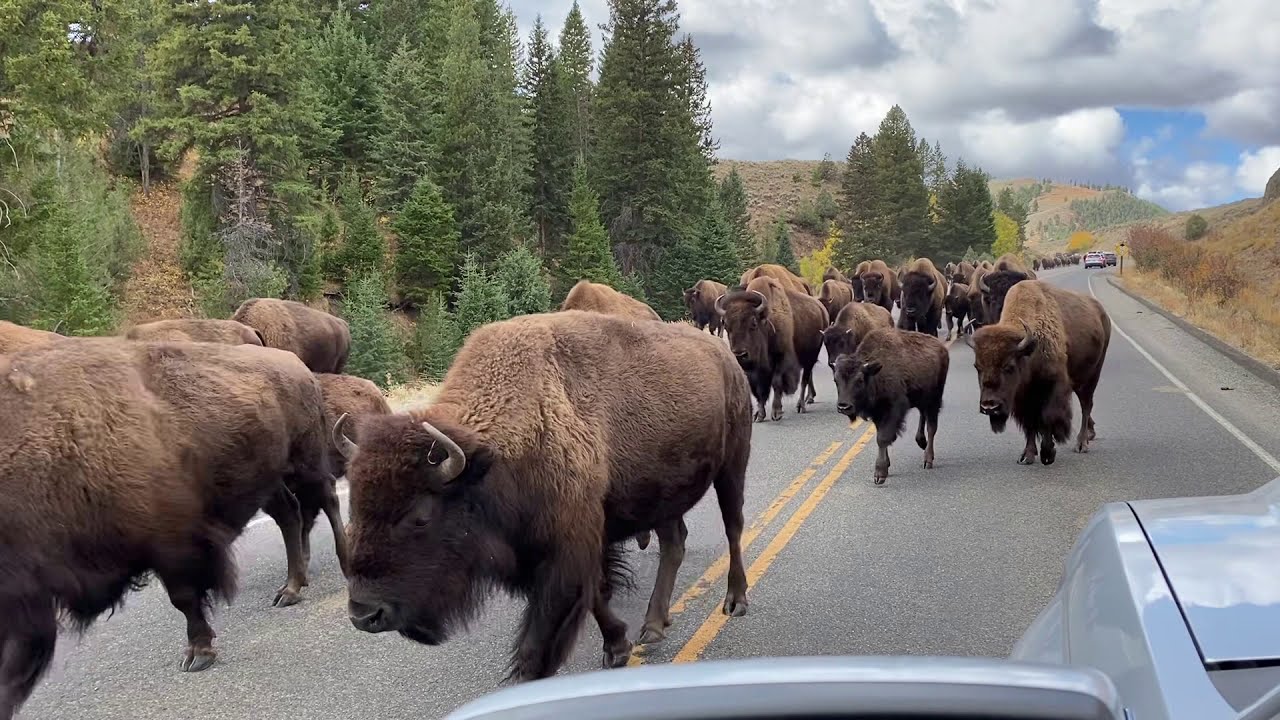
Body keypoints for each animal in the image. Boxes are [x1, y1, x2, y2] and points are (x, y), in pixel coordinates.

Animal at [0, 338, 346, 719]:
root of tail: (296, 364)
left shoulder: (173, 546)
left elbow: (184, 598)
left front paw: (198, 654)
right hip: (270, 480)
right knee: (290, 514)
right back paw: (290, 589)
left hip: (306, 461)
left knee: (327, 497)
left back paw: (343, 564)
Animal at [335, 310, 752, 681]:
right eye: (354, 508)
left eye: (421, 515)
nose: (364, 614)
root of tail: (725, 357)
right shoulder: (567, 546)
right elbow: (595, 596)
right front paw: (617, 646)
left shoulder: (565, 551)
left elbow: (542, 637)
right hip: (663, 496)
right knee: (674, 542)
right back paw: (654, 624)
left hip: (732, 466)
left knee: (733, 528)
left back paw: (735, 602)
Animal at [717, 276, 828, 421]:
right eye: (726, 325)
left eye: (753, 323)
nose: (740, 355)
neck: (766, 326)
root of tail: (820, 308)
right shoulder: (754, 371)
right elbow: (759, 391)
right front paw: (759, 415)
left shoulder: (780, 359)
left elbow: (776, 383)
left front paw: (776, 412)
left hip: (810, 358)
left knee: (804, 380)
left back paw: (801, 406)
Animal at [834, 327, 949, 485]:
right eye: (836, 380)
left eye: (859, 380)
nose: (843, 407)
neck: (876, 374)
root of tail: (942, 347)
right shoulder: (878, 413)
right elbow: (881, 436)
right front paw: (886, 465)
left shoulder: (893, 410)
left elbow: (882, 438)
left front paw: (880, 474)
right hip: (922, 398)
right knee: (923, 416)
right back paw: (921, 441)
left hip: (934, 399)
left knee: (932, 427)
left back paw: (928, 460)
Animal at [971, 280, 1112, 465]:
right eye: (977, 367)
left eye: (1009, 367)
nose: (990, 406)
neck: (1030, 350)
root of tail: (1102, 314)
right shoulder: (1024, 397)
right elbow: (1030, 424)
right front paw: (1027, 455)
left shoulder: (1052, 388)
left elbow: (1047, 419)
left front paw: (1047, 454)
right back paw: (1089, 433)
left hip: (1091, 376)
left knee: (1086, 405)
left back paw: (1082, 443)